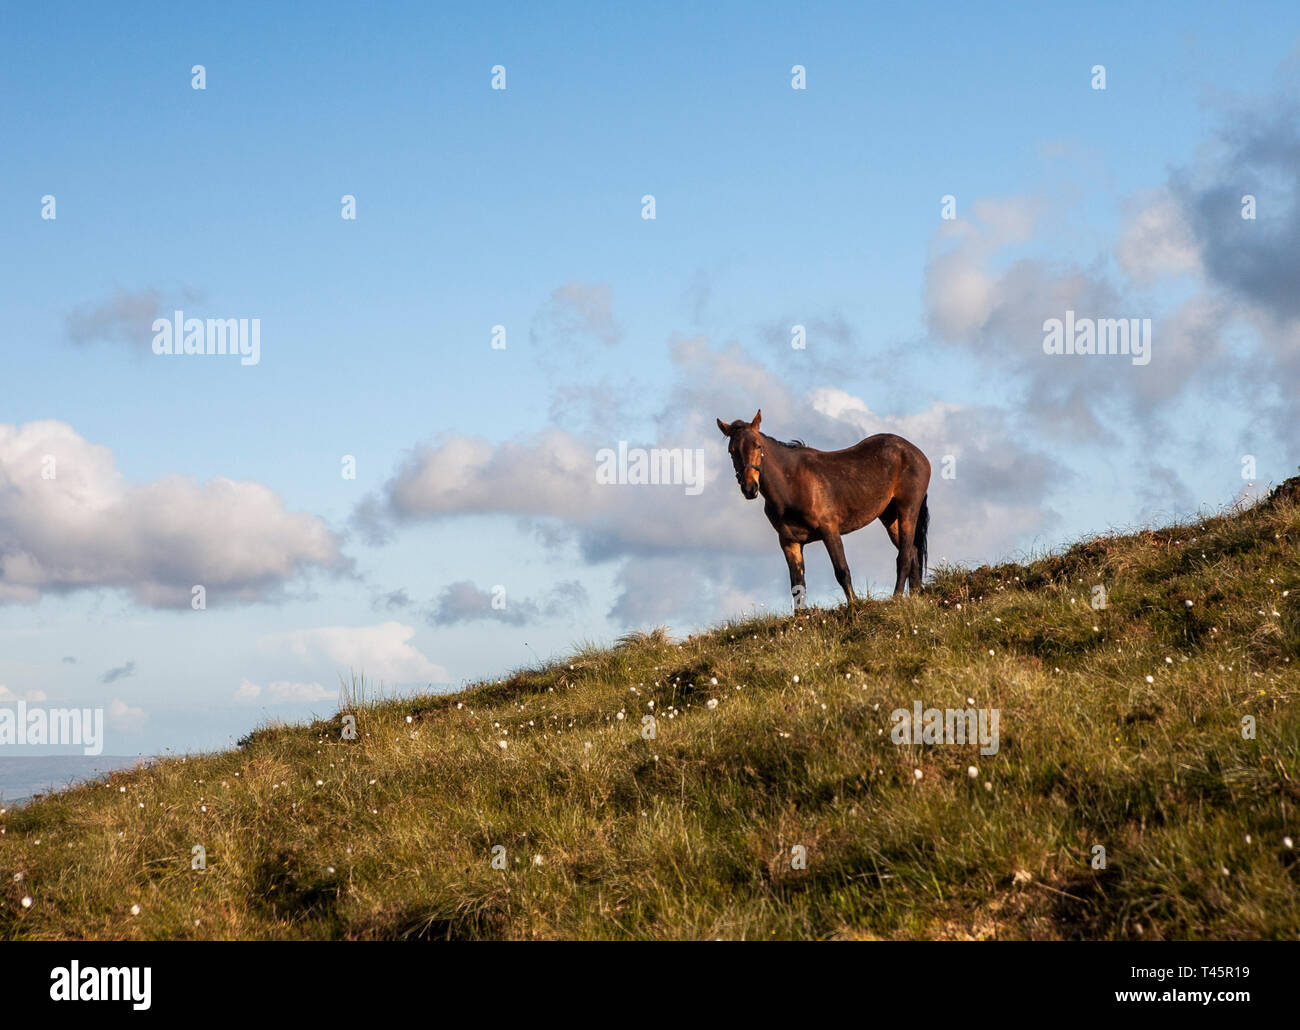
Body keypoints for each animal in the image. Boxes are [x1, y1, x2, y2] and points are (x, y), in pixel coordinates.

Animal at [716, 409, 931, 607]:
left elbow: (842, 571)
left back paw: (896, 599)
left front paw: (854, 606)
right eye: (731, 451)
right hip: (889, 515)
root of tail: (916, 453)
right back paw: (916, 596)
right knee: (912, 553)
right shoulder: (789, 541)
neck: (792, 484)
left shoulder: (829, 530)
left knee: (904, 556)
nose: (749, 488)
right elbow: (797, 585)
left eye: (757, 445)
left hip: (907, 509)